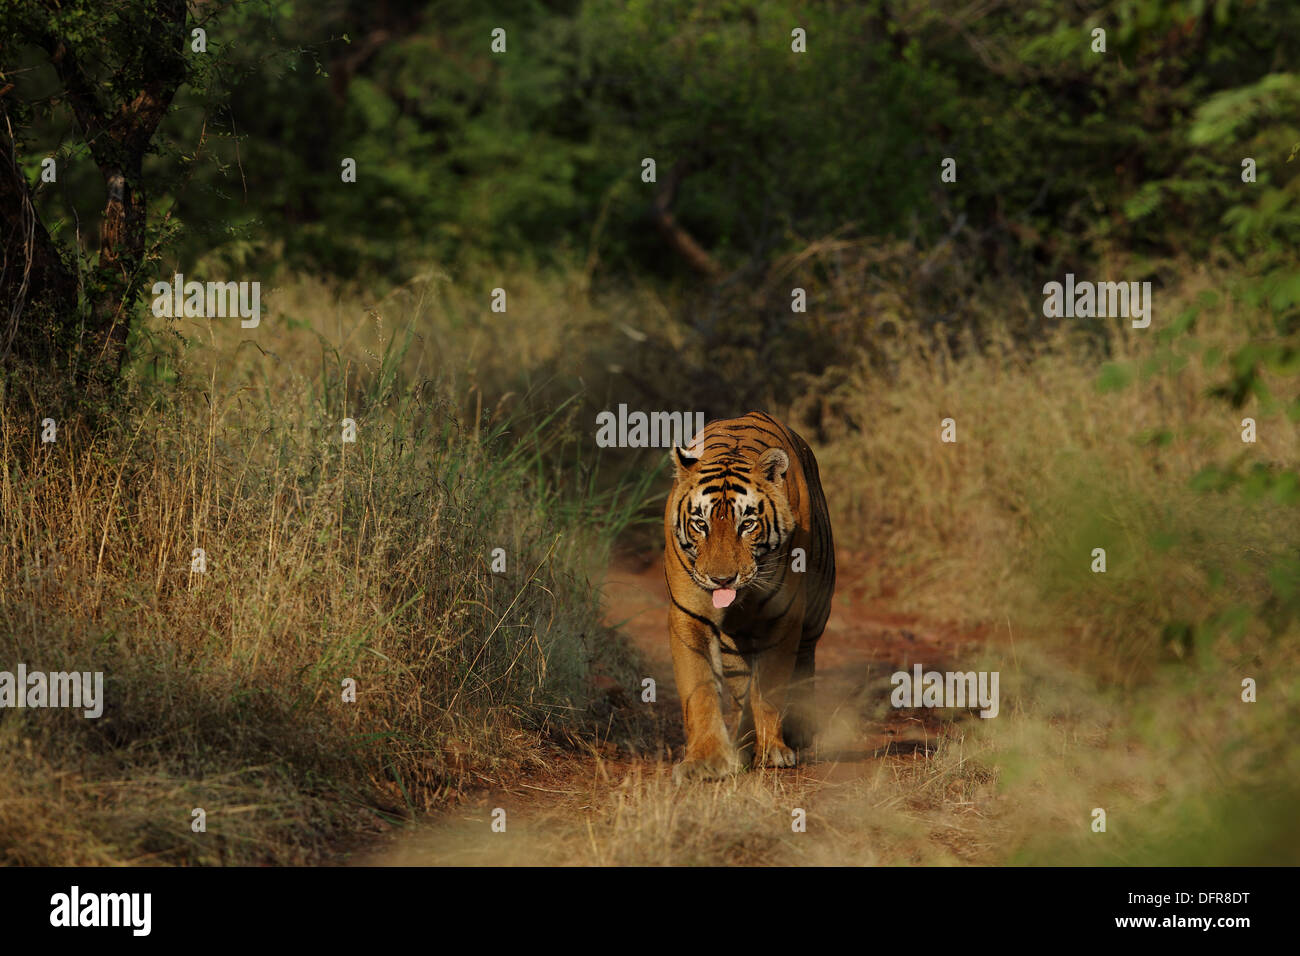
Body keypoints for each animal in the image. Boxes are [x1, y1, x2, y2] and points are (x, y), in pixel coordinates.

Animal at [664, 410, 836, 783]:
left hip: (817, 608)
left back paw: (795, 732)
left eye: (747, 524)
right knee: (742, 683)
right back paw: (742, 746)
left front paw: (773, 751)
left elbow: (769, 686)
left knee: (805, 657)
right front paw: (705, 760)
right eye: (700, 524)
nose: (722, 579)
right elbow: (700, 689)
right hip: (732, 643)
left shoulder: (783, 617)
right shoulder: (690, 615)